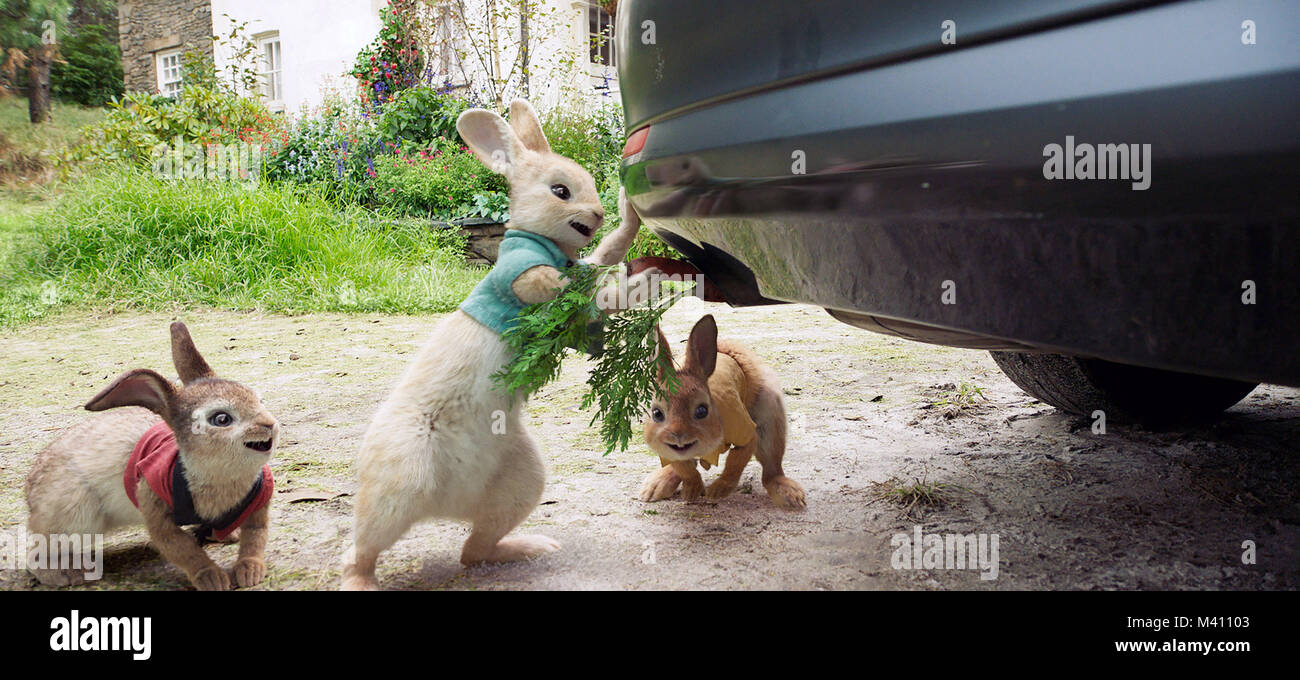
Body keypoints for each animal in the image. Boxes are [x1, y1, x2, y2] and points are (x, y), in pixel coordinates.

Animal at [24, 322, 279, 590]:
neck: (222, 475)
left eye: (258, 400)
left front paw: (250, 572)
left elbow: (255, 536)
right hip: (75, 518)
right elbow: (182, 549)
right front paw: (212, 579)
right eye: (221, 419)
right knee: (37, 551)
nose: (269, 424)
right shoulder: (154, 503)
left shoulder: (259, 503)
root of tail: (30, 492)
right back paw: (64, 574)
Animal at [341, 99, 657, 590]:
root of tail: (443, 507)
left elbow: (602, 256)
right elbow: (569, 292)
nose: (597, 215)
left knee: (474, 550)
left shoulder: (581, 264)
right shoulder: (527, 278)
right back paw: (359, 580)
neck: (545, 243)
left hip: (521, 479)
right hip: (400, 479)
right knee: (363, 550)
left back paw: (531, 547)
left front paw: (630, 221)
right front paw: (639, 284)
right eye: (560, 190)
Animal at [639, 315, 806, 510]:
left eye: (702, 410)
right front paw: (692, 491)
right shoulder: (668, 451)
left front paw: (717, 491)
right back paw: (654, 487)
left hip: (770, 417)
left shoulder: (746, 432)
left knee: (772, 468)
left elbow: (735, 462)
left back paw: (790, 496)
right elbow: (684, 469)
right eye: (656, 413)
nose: (678, 436)